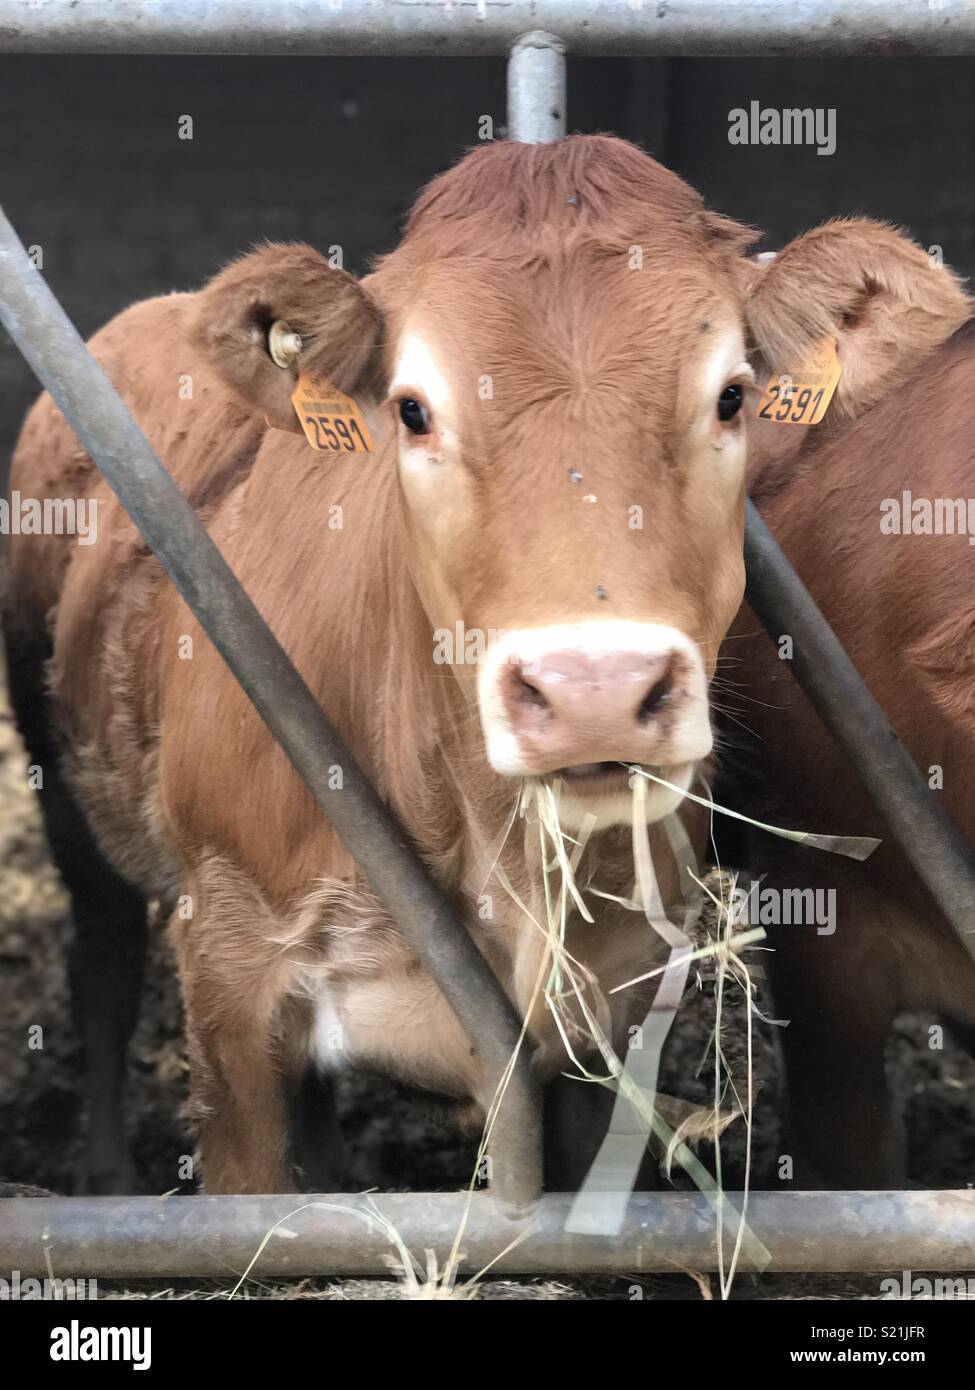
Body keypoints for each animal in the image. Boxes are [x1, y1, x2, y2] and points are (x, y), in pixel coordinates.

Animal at [3, 135, 948, 1195]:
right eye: (411, 409)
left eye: (732, 396)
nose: (593, 693)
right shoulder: (228, 965)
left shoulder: (603, 1009)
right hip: (63, 782)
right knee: (103, 964)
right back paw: (107, 1176)